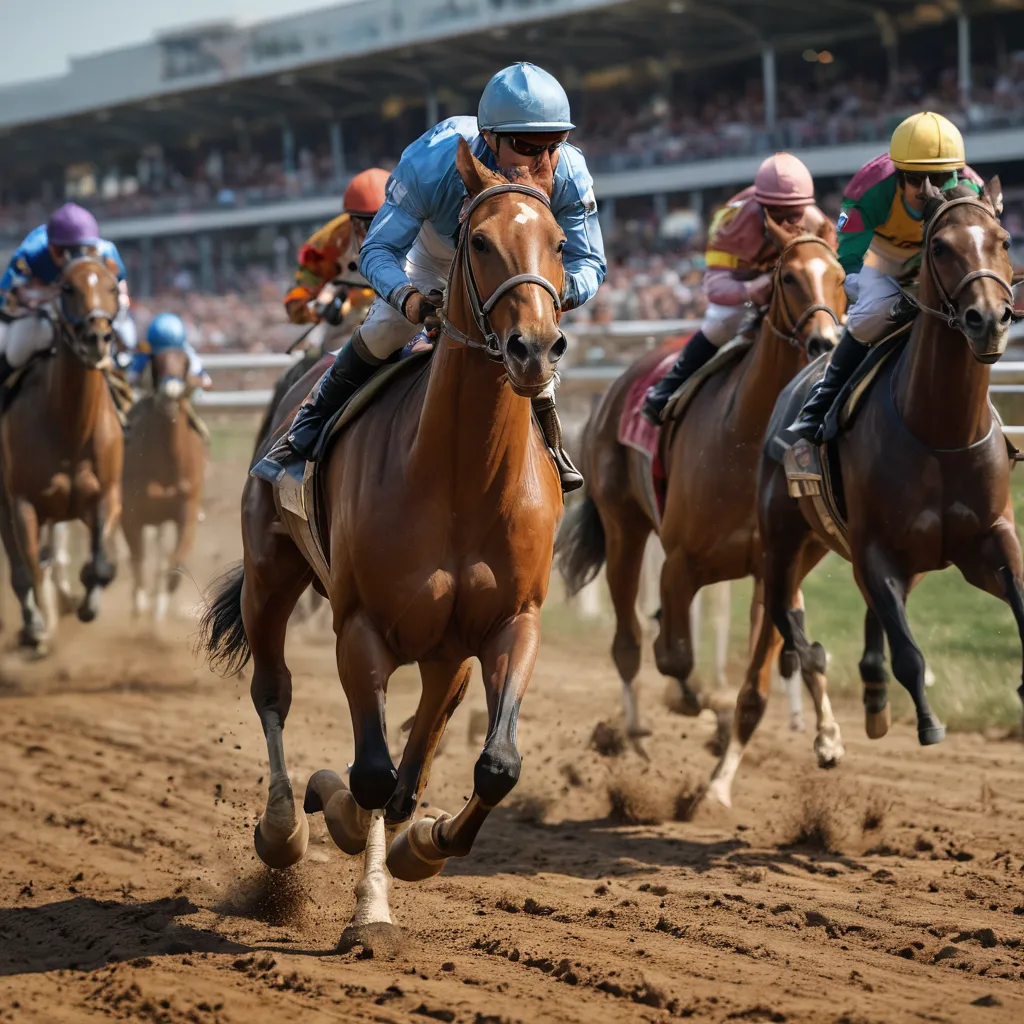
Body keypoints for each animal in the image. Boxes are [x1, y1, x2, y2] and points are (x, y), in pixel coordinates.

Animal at [0, 255, 123, 651]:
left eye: (112, 286)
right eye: (67, 288)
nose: (97, 338)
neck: (71, 427)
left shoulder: (105, 496)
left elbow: (99, 564)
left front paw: (85, 604)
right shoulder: (22, 504)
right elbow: (31, 569)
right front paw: (39, 629)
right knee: (25, 567)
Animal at [122, 345, 207, 620]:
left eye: (184, 362)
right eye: (157, 361)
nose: (171, 392)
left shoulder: (186, 507)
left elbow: (176, 556)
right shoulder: (130, 512)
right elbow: (137, 559)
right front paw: (139, 606)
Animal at [197, 138, 566, 952]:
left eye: (561, 243)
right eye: (479, 241)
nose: (532, 348)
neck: (460, 476)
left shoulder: (512, 621)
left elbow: (492, 764)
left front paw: (422, 847)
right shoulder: (359, 625)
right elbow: (369, 771)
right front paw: (368, 906)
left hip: (443, 652)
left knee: (417, 751)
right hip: (271, 577)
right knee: (273, 691)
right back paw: (285, 828)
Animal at [556, 216, 846, 747]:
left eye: (840, 276)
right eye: (788, 277)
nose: (825, 343)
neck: (747, 439)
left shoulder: (775, 564)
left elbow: (768, 652)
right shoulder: (679, 563)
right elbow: (674, 657)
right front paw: (700, 706)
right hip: (623, 529)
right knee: (628, 643)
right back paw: (632, 731)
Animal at [708, 180, 1021, 807]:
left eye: (1002, 239)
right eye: (941, 247)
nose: (989, 320)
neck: (939, 430)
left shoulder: (991, 539)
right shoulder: (876, 549)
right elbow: (909, 652)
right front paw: (926, 721)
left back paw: (870, 691)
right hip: (783, 535)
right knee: (785, 614)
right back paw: (825, 701)